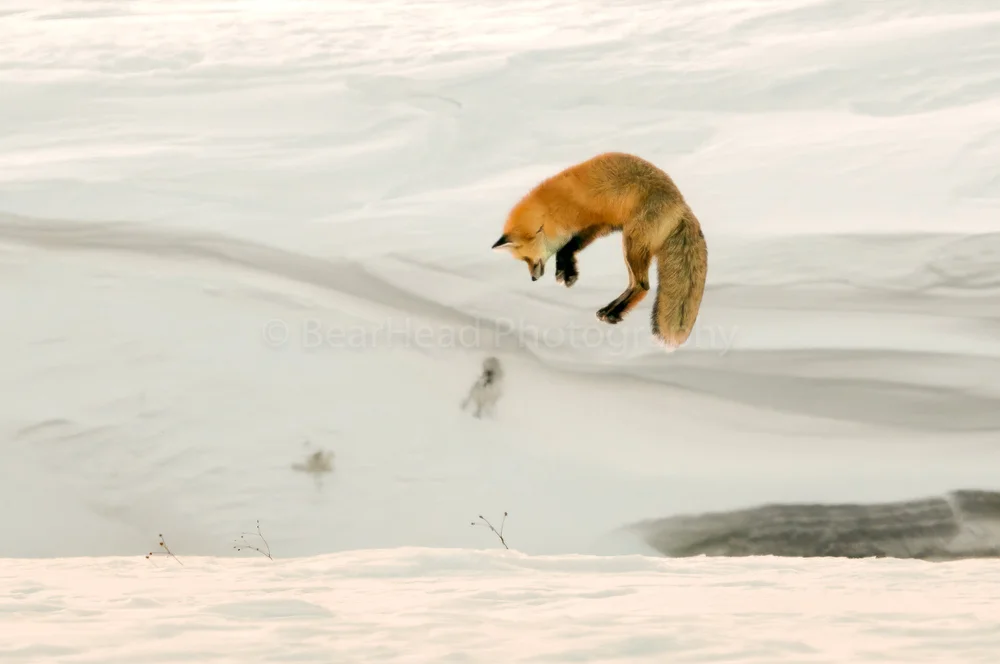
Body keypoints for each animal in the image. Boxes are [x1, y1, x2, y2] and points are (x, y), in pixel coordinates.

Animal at [491, 152, 708, 349]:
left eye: (527, 258)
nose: (533, 279)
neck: (554, 210)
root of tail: (681, 205)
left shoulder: (596, 224)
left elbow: (566, 248)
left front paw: (566, 273)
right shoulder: (601, 225)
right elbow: (566, 250)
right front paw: (566, 272)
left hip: (631, 245)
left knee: (642, 285)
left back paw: (614, 312)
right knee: (634, 284)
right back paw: (609, 310)